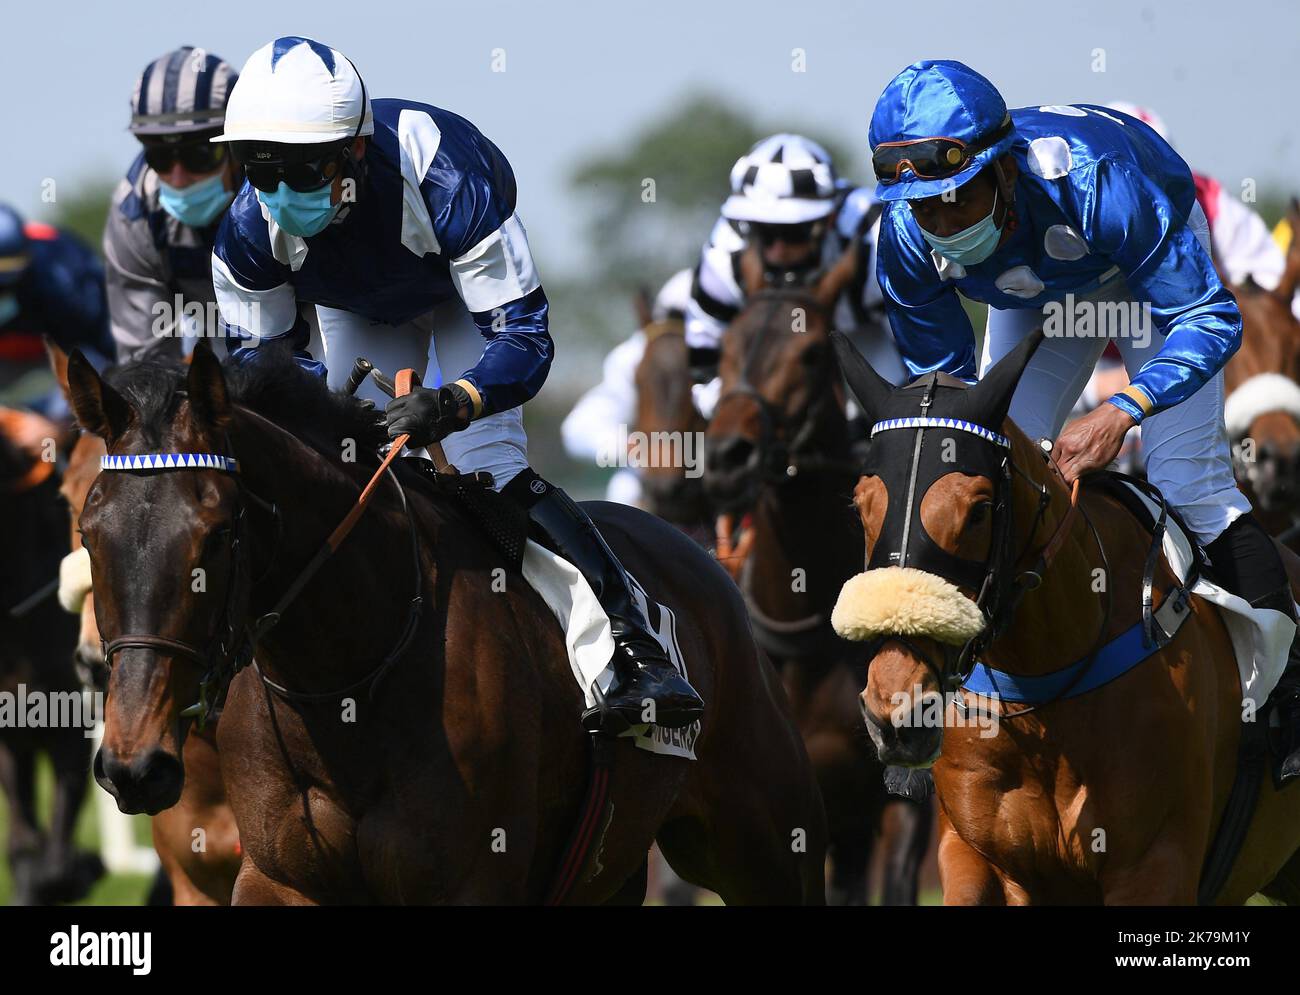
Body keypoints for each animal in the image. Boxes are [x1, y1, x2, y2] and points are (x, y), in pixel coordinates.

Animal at [68, 340, 826, 904]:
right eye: (88, 531)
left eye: (219, 534)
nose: (135, 763)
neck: (348, 687)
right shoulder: (277, 879)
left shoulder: (472, 881)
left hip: (767, 848)